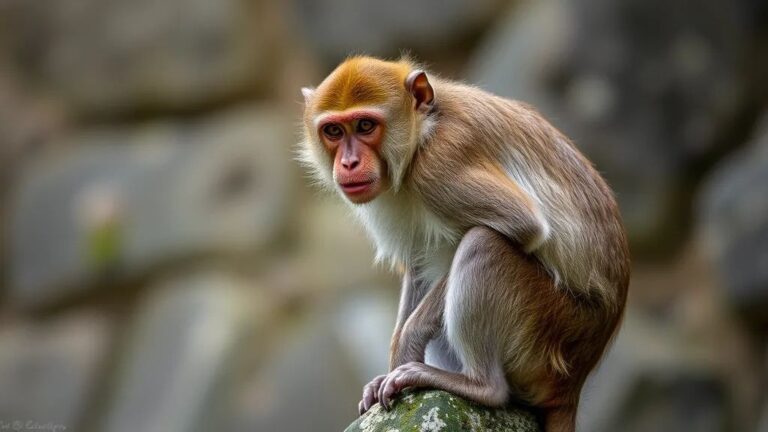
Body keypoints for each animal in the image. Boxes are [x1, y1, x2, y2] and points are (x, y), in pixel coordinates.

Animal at [298, 56, 630, 432]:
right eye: (334, 132)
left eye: (365, 125)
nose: (349, 162)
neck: (424, 133)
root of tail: (573, 384)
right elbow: (418, 264)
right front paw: (392, 362)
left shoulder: (438, 167)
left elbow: (524, 226)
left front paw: (407, 345)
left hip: (550, 333)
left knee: (484, 242)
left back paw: (481, 385)